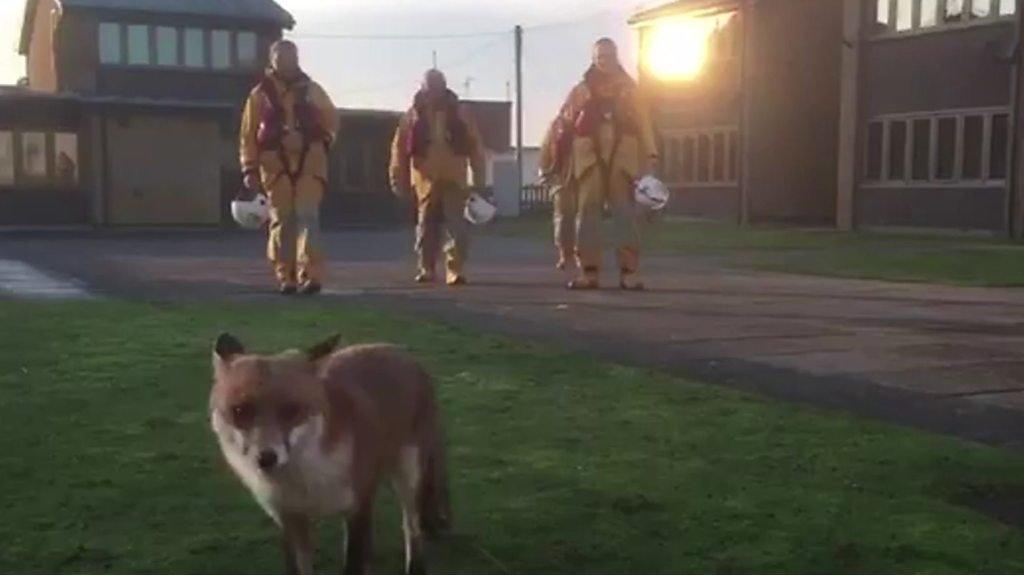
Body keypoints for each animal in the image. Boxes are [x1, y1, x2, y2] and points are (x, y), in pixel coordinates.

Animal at [209, 332, 451, 574]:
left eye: (291, 411)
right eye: (240, 411)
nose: (266, 458)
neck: (304, 484)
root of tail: (399, 350)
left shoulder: (359, 506)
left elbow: (354, 564)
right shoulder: (288, 518)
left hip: (407, 476)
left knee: (412, 526)